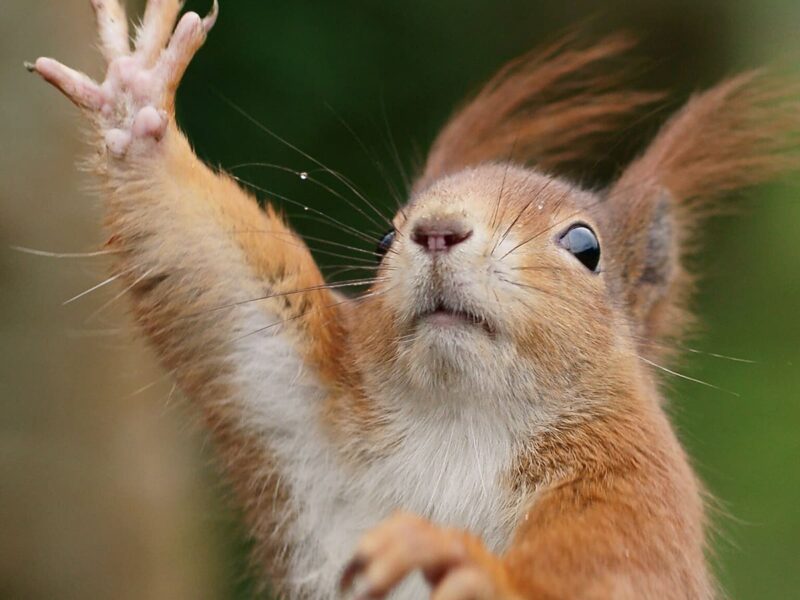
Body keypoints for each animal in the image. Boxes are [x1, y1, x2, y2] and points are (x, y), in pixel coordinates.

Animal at [27, 1, 800, 599]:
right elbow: (209, 268)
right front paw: (138, 101)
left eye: (586, 247)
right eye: (382, 238)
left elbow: (606, 580)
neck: (461, 418)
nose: (436, 231)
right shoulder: (292, 392)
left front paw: (465, 565)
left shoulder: (636, 498)